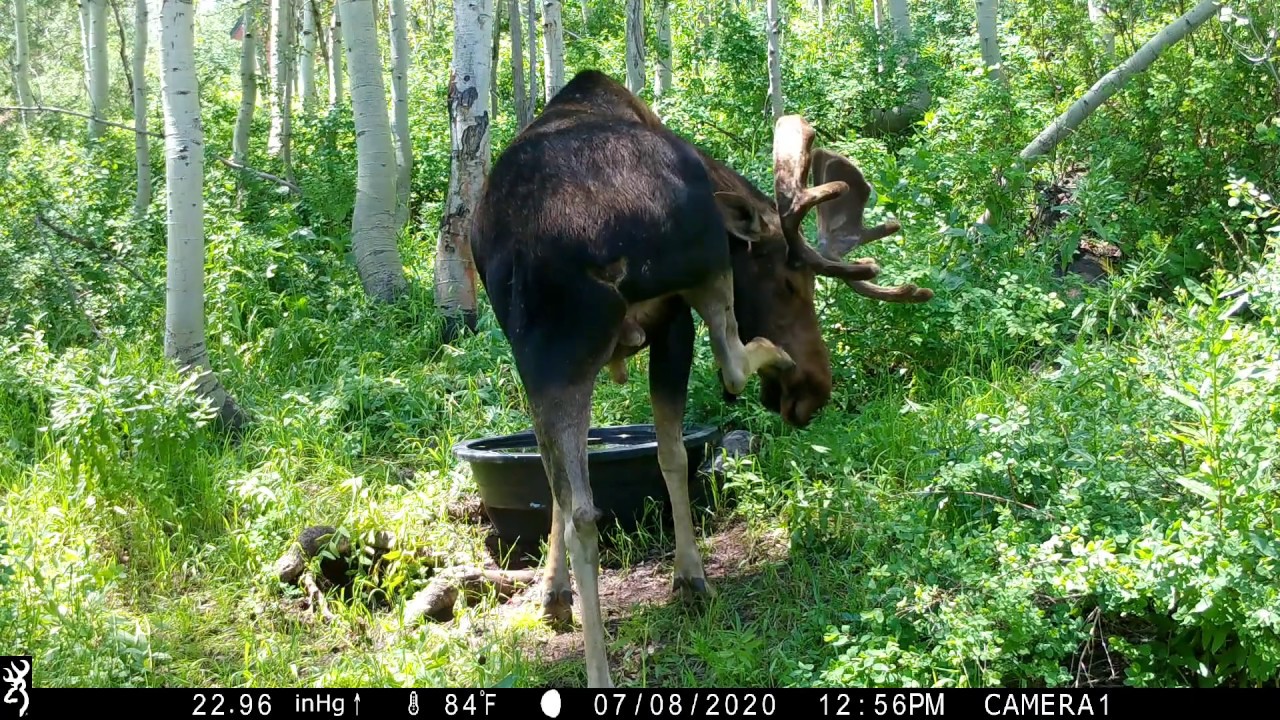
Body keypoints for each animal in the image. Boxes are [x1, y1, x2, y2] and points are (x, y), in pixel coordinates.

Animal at [469, 70, 933, 688]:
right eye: (792, 280)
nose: (816, 390)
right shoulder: (673, 318)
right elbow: (673, 455)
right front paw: (689, 577)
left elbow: (562, 489)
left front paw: (553, 595)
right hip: (701, 269)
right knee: (731, 362)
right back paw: (773, 358)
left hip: (546, 356)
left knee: (580, 511)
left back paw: (595, 666)